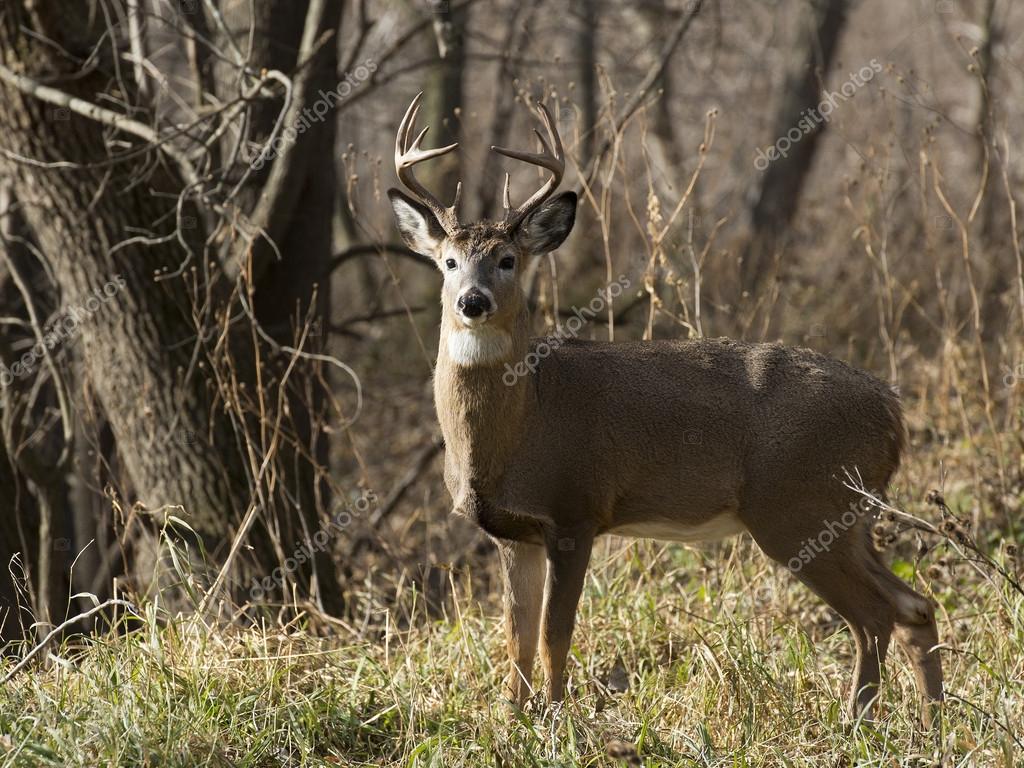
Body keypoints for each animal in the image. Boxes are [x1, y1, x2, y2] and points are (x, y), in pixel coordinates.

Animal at [386, 92, 944, 726]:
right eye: (449, 262)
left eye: (507, 259)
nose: (472, 302)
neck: (520, 427)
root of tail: (893, 411)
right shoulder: (513, 532)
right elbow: (517, 639)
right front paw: (514, 719)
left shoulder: (576, 509)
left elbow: (555, 635)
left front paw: (557, 721)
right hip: (849, 515)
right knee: (916, 605)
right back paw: (933, 721)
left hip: (801, 506)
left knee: (874, 615)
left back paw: (857, 721)